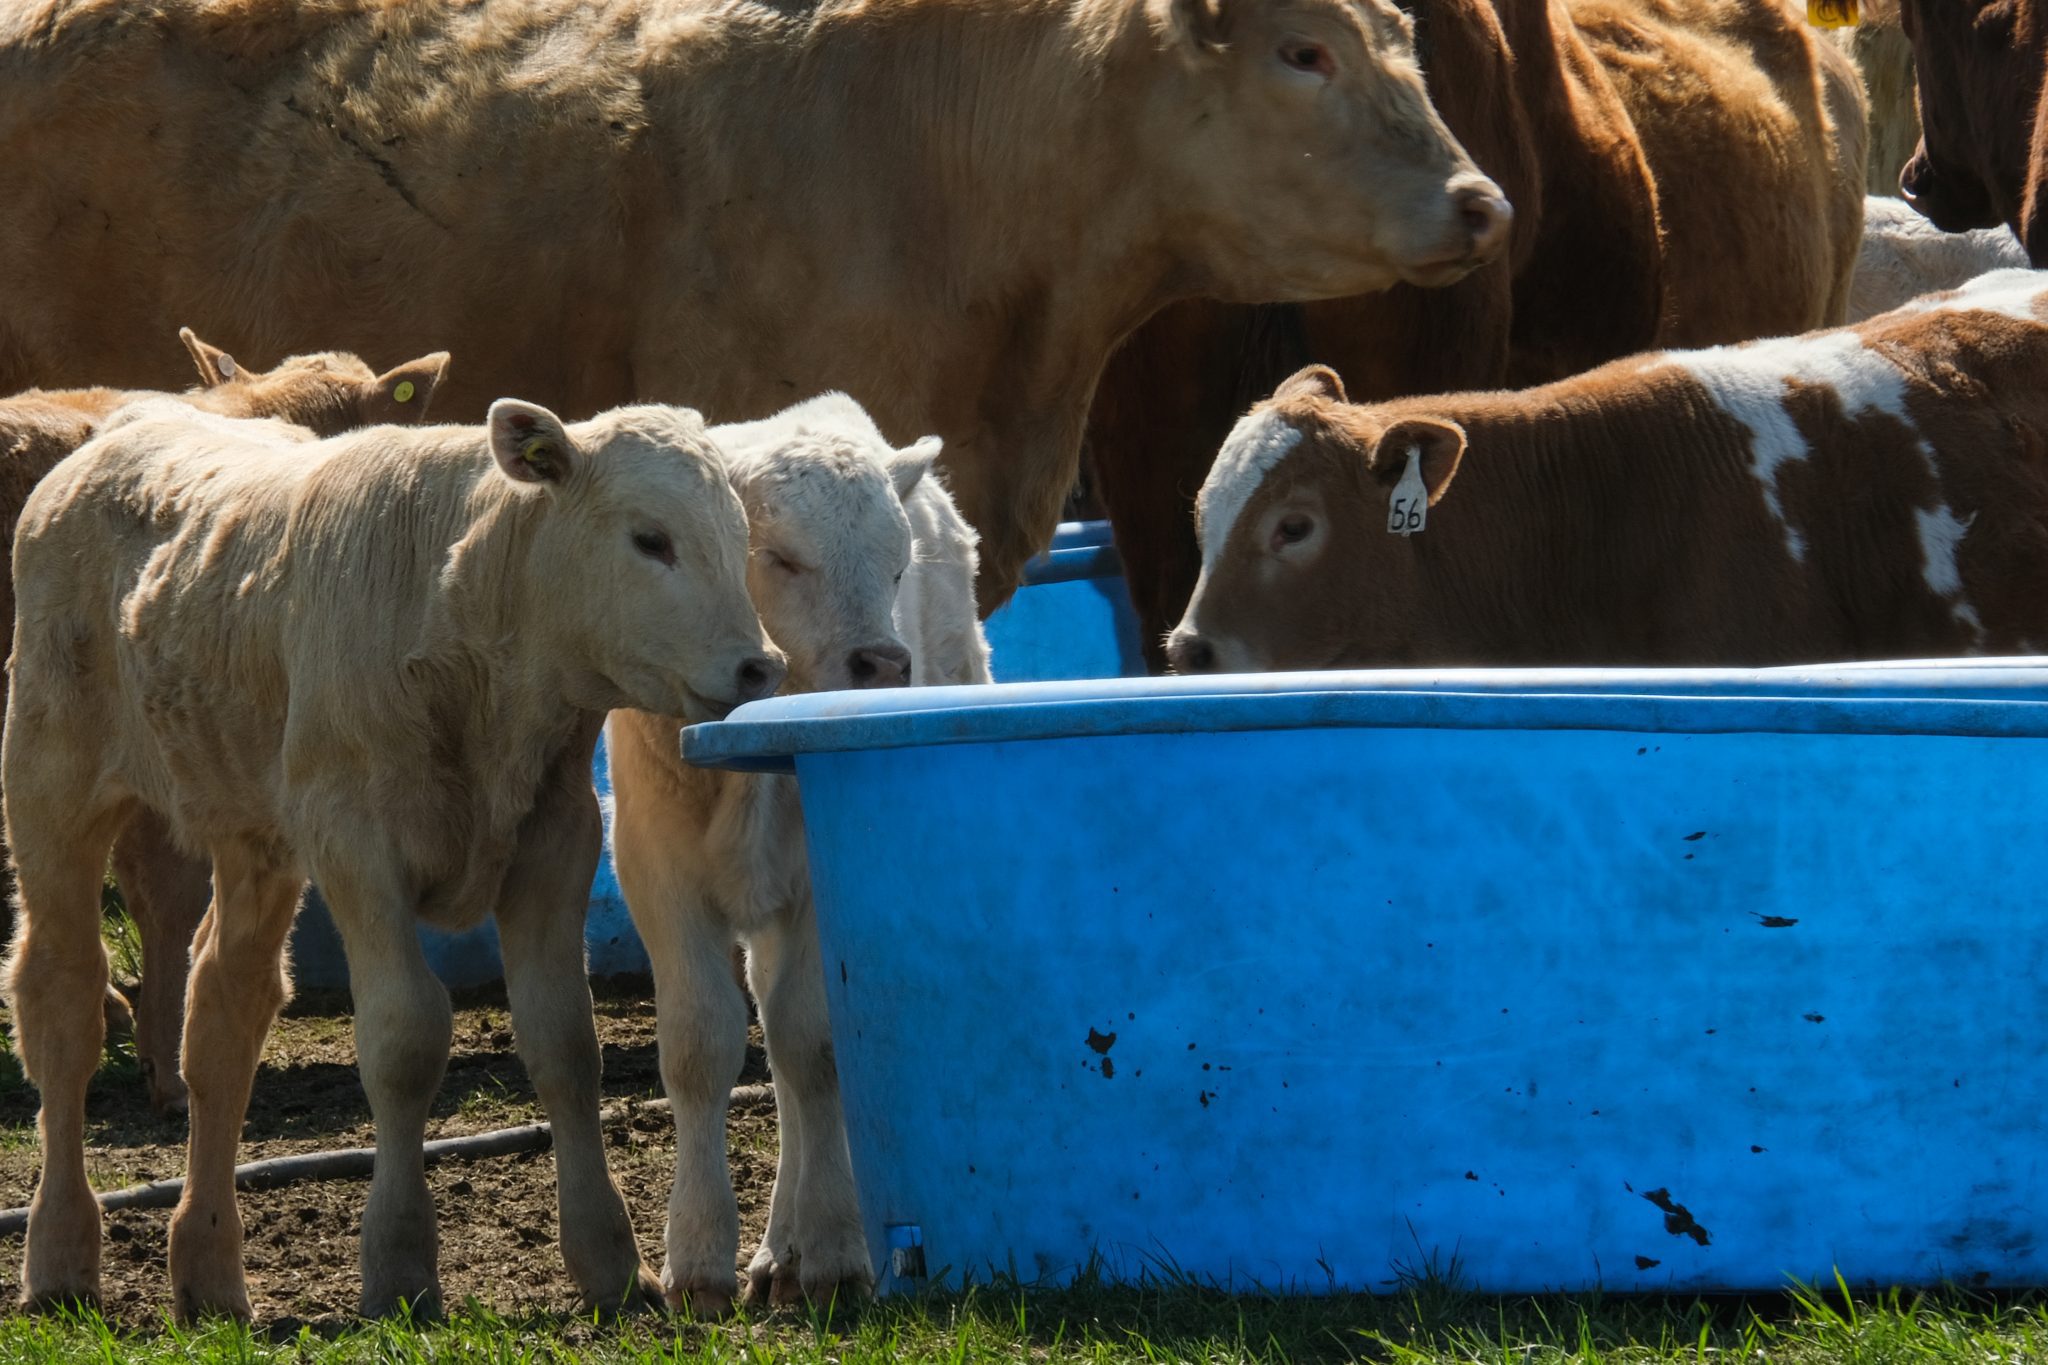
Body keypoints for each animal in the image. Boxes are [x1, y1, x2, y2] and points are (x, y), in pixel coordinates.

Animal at [607, 392, 990, 1316]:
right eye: (778, 556)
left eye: (897, 567)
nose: (884, 660)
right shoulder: (656, 871)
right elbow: (701, 1043)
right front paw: (699, 1257)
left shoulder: (824, 875)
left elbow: (816, 1044)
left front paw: (837, 1249)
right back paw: (773, 1248)